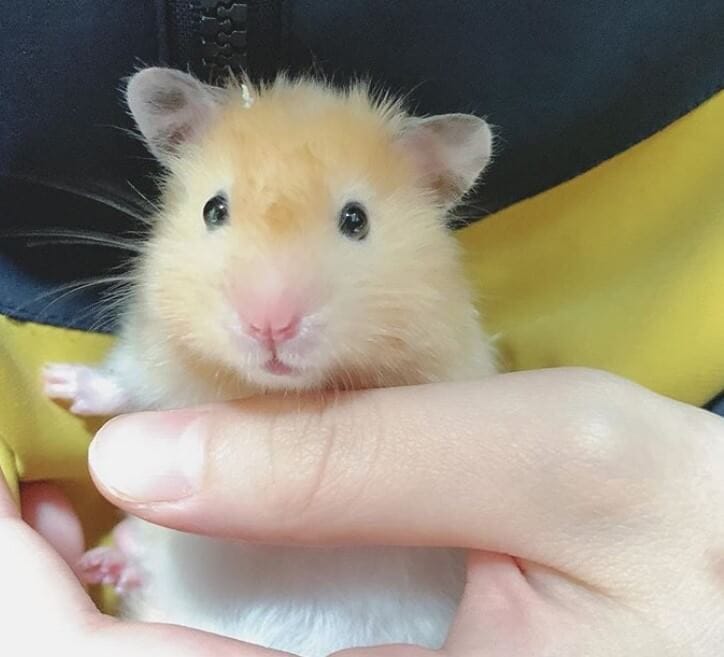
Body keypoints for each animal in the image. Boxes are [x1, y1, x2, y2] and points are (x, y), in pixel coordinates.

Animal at [42, 67, 499, 656]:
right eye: (214, 209)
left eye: (356, 220)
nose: (270, 325)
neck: (264, 388)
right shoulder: (154, 349)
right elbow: (124, 382)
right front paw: (56, 382)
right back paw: (108, 562)